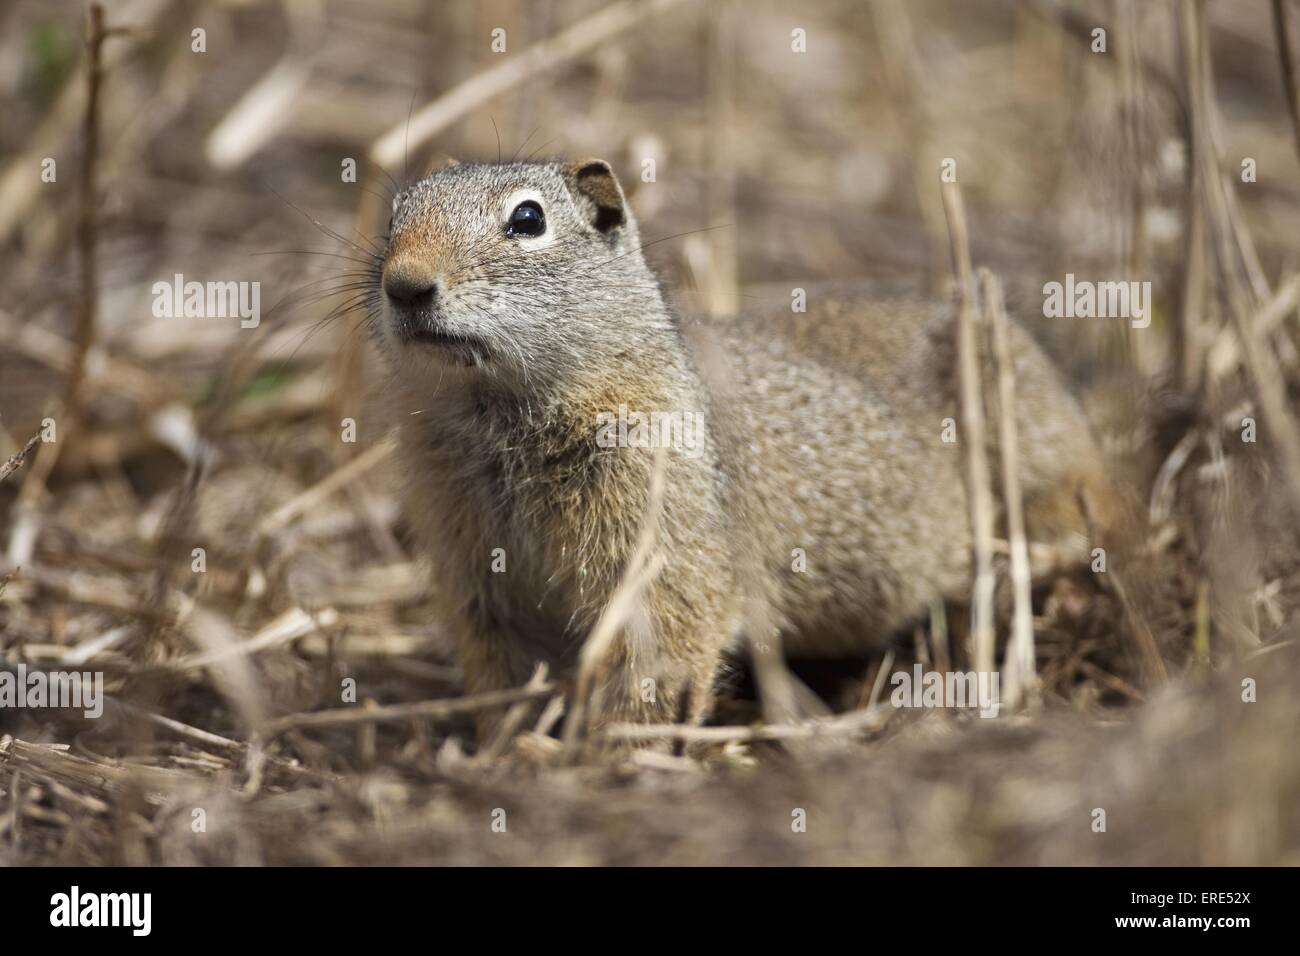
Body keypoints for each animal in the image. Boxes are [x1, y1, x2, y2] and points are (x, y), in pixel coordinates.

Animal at [375, 159, 1107, 741]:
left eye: (527, 219)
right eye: (394, 217)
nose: (403, 283)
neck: (501, 425)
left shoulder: (662, 541)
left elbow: (657, 653)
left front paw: (615, 751)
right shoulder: (477, 575)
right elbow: (505, 669)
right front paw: (508, 746)